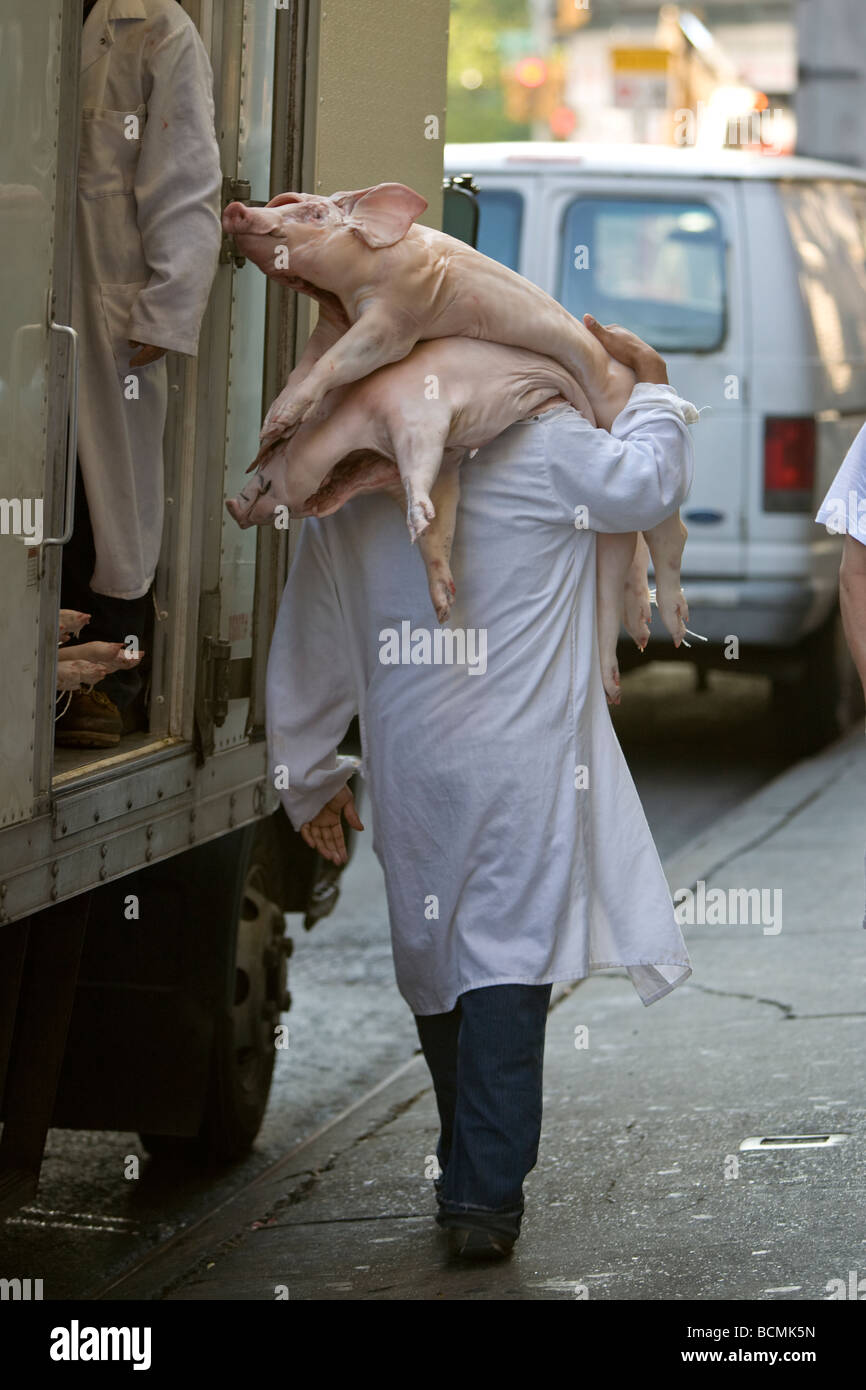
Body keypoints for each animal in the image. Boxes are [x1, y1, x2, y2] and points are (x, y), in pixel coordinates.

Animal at [225, 336, 690, 701]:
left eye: (266, 474)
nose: (232, 504)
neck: (361, 441)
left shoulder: (418, 419)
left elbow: (420, 470)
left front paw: (415, 522)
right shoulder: (442, 463)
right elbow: (440, 525)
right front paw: (444, 607)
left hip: (617, 412)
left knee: (663, 525)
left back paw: (665, 636)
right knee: (627, 552)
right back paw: (638, 647)